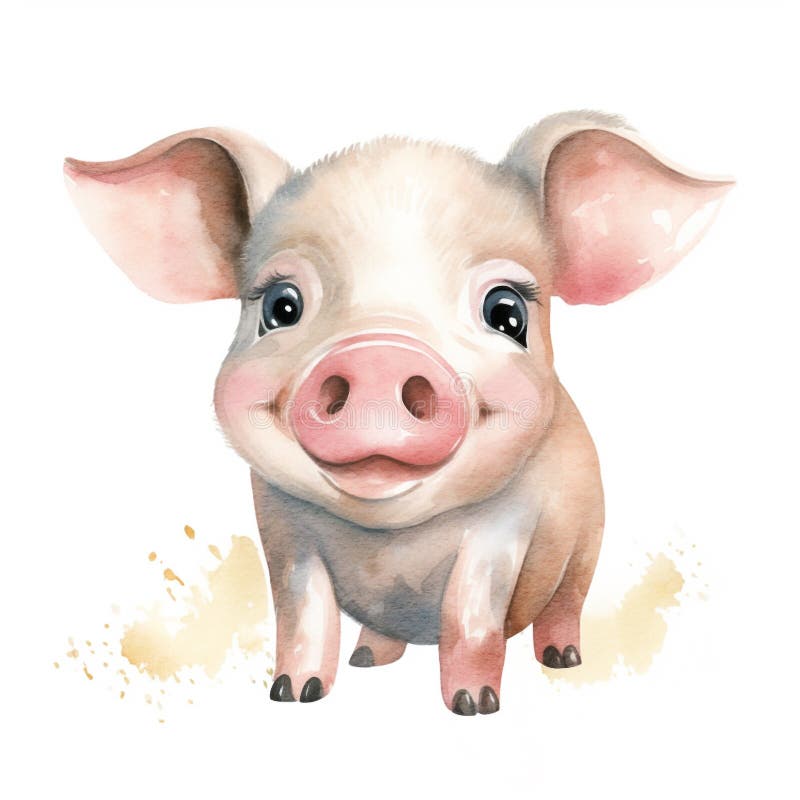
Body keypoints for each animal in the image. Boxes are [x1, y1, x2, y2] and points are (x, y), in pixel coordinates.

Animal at [64, 111, 731, 714]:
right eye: (281, 307)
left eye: (507, 312)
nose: (379, 355)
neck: (388, 544)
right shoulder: (281, 527)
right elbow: (302, 611)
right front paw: (292, 695)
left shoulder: (507, 527)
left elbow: (470, 616)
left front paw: (474, 706)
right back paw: (368, 658)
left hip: (589, 538)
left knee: (566, 602)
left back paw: (562, 659)